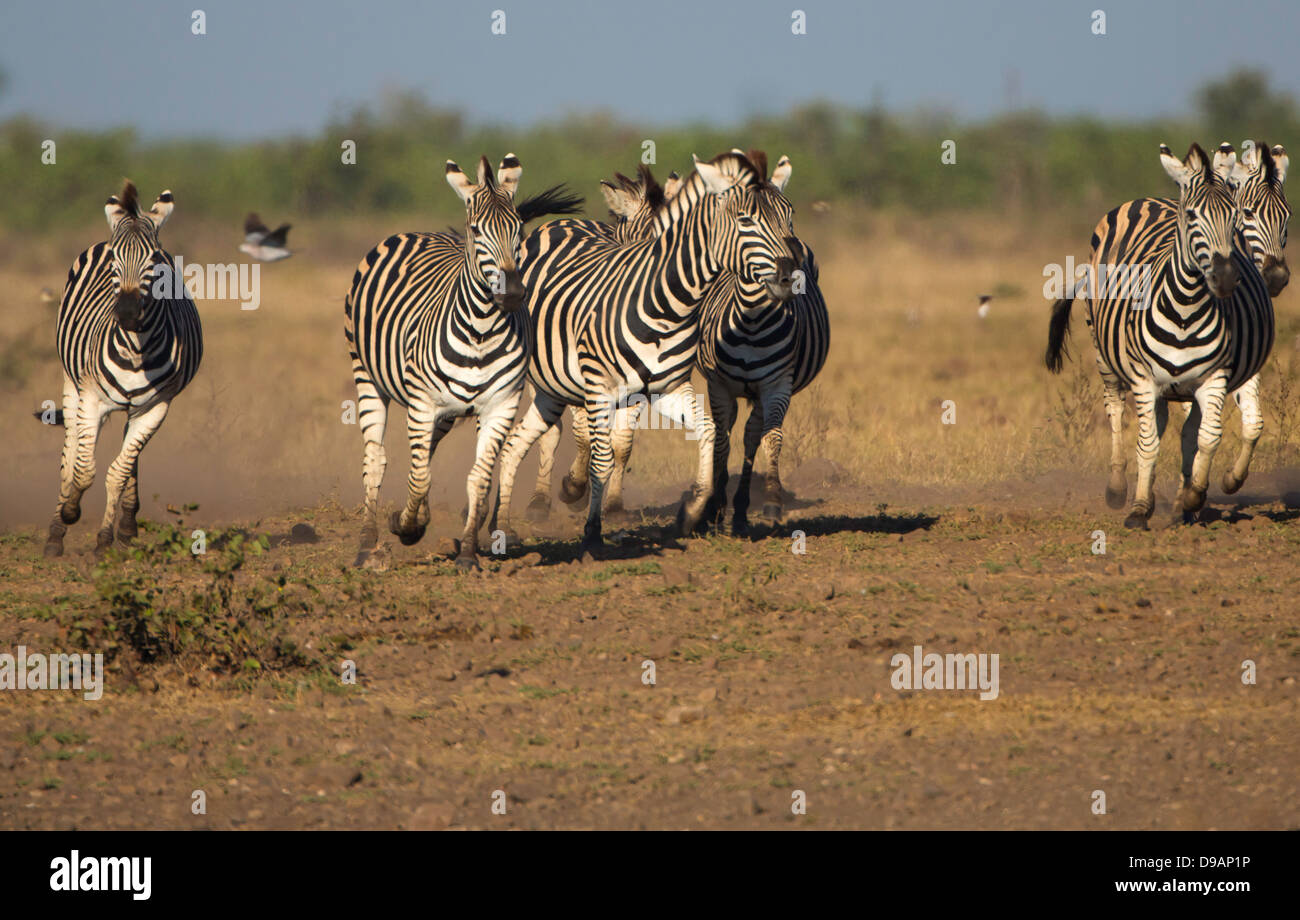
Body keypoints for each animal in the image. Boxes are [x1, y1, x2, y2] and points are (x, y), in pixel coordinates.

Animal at [41, 182, 203, 558]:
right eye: (116, 260)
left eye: (154, 260)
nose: (127, 313)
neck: (135, 349)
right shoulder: (91, 399)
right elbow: (83, 470)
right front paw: (70, 512)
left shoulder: (157, 406)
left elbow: (117, 472)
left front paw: (105, 539)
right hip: (72, 386)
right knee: (69, 455)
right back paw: (56, 533)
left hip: (135, 408)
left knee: (126, 461)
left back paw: (126, 526)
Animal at [343, 154, 581, 570]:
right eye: (476, 230)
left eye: (518, 227)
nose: (512, 293)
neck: (481, 330)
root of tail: (417, 233)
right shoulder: (423, 403)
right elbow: (419, 478)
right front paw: (406, 527)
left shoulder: (499, 406)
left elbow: (477, 480)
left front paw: (468, 553)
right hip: (368, 378)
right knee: (376, 461)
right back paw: (367, 545)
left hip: (446, 411)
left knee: (422, 455)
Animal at [493, 150, 799, 558]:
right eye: (745, 219)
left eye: (788, 215)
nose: (789, 275)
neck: (665, 307)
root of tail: (562, 223)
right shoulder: (598, 386)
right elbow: (596, 449)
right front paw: (589, 520)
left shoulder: (660, 388)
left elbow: (684, 433)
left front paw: (688, 510)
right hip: (538, 375)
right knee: (550, 433)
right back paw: (539, 503)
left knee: (532, 439)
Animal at [1045, 143, 1273, 528]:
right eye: (1192, 217)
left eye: (1235, 217)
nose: (1227, 278)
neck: (1185, 308)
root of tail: (1152, 199)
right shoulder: (1142, 376)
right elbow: (1147, 443)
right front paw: (1138, 510)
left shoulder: (1214, 376)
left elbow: (1207, 438)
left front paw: (1193, 496)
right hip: (1105, 356)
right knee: (1116, 413)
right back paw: (1119, 487)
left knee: (1177, 427)